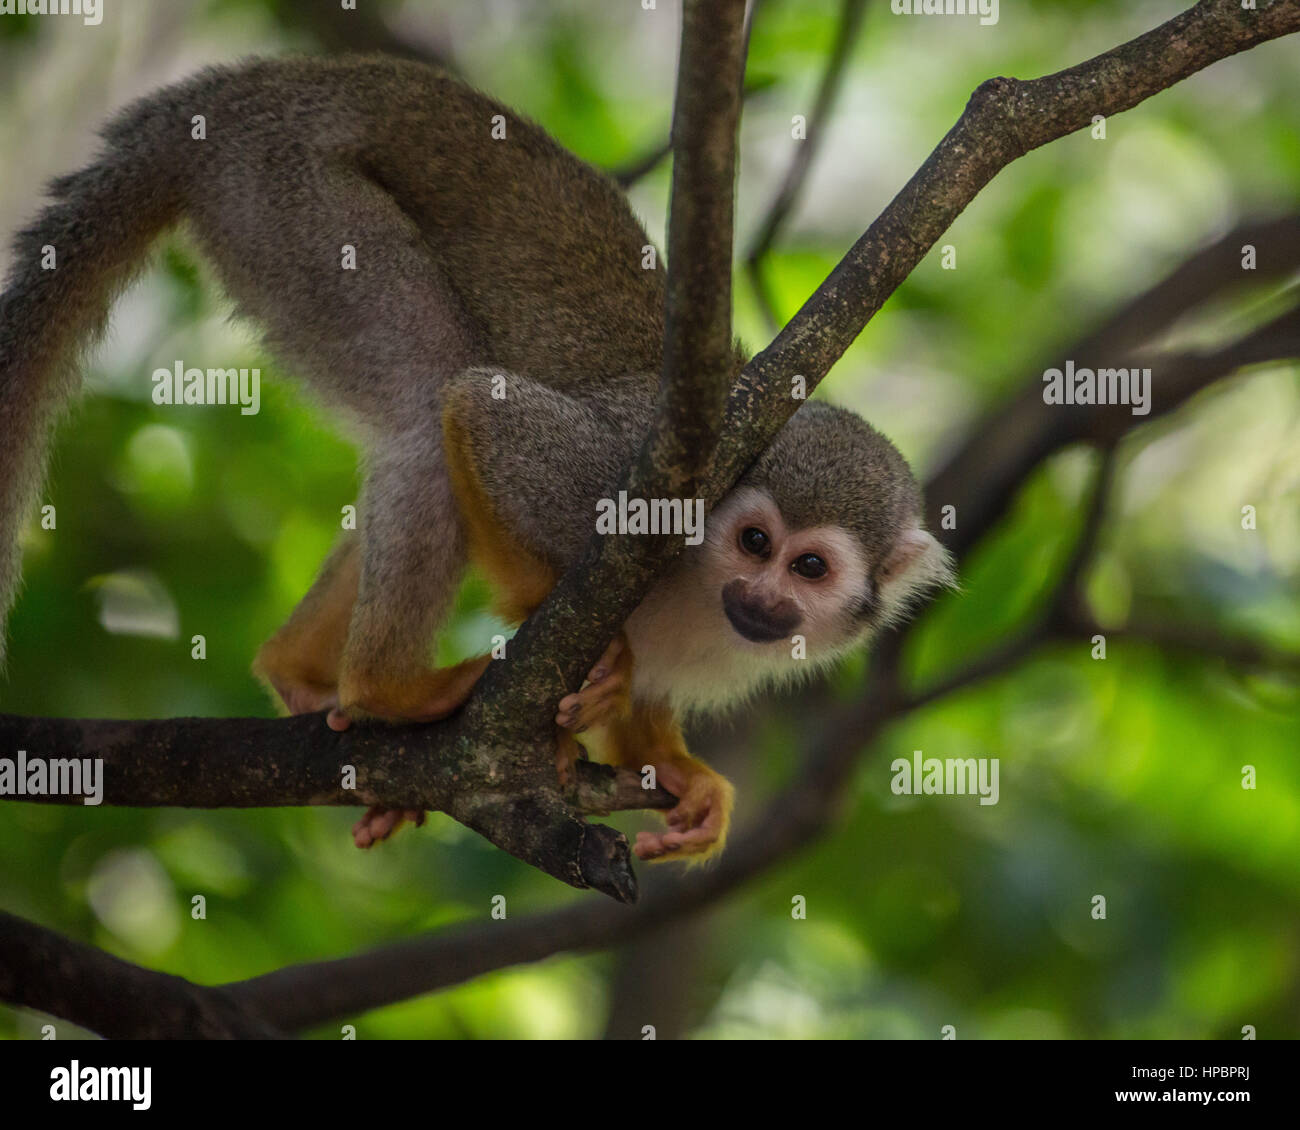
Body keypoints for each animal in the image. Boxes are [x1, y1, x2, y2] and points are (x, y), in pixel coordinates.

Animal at [0, 55, 952, 862]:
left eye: (810, 567)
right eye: (756, 543)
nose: (762, 598)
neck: (699, 586)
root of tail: (239, 91)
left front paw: (675, 769)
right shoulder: (636, 483)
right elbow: (481, 413)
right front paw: (581, 646)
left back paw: (299, 673)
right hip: (287, 203)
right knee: (431, 396)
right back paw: (387, 689)